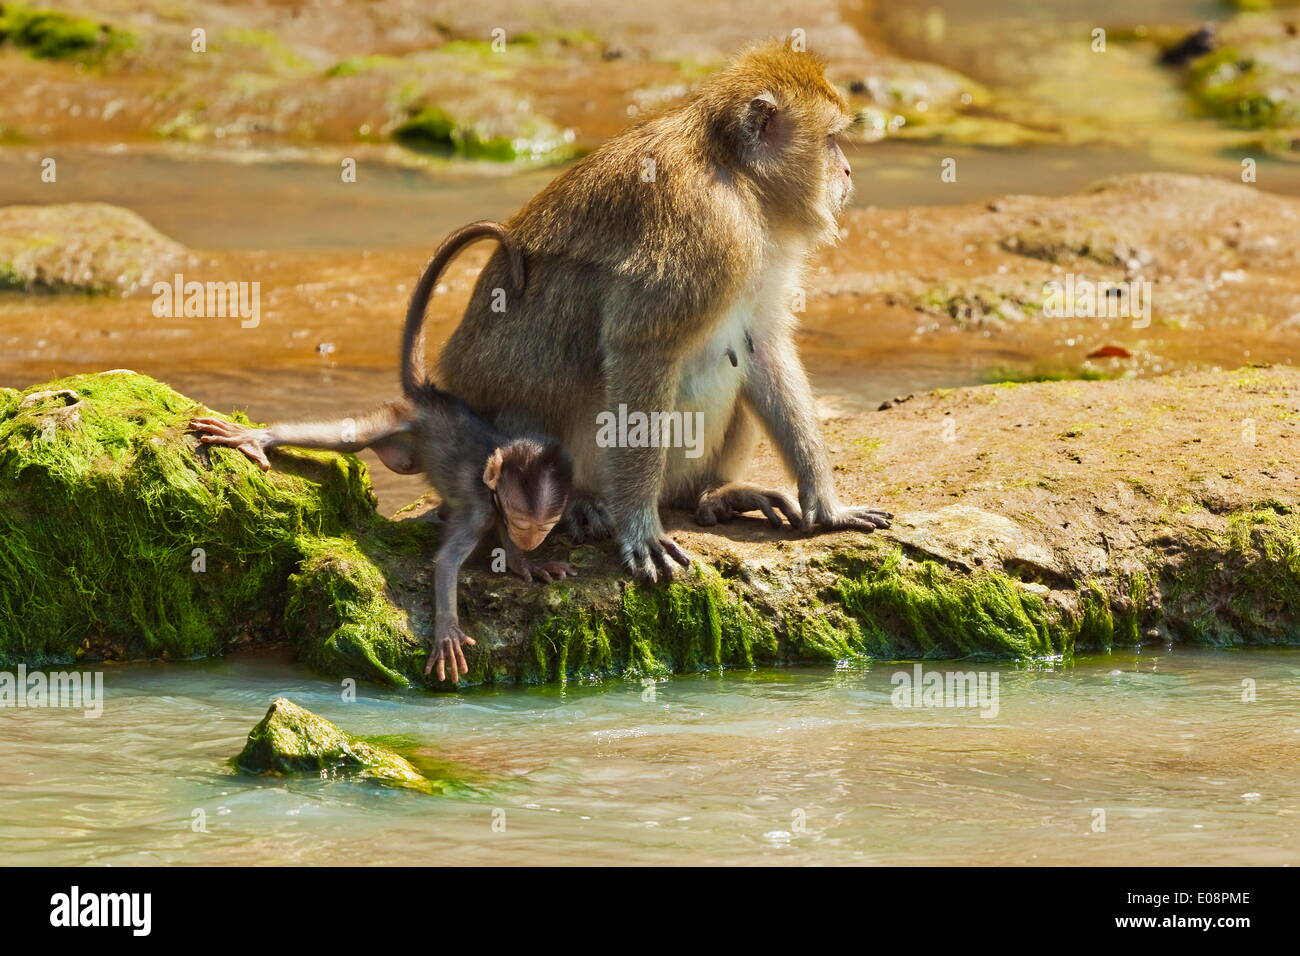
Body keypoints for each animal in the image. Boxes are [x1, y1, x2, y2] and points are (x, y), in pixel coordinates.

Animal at [190, 222, 576, 684]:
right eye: (523, 522)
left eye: (543, 527)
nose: (529, 538)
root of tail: (431, 394)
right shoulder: (484, 507)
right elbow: (446, 563)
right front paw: (447, 630)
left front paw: (526, 562)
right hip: (402, 418)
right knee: (353, 438)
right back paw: (261, 437)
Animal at [436, 41, 892, 584]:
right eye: (831, 141)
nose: (846, 173)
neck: (739, 177)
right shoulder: (705, 224)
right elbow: (641, 348)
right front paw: (640, 529)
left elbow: (764, 346)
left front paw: (828, 508)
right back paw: (580, 505)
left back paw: (713, 494)